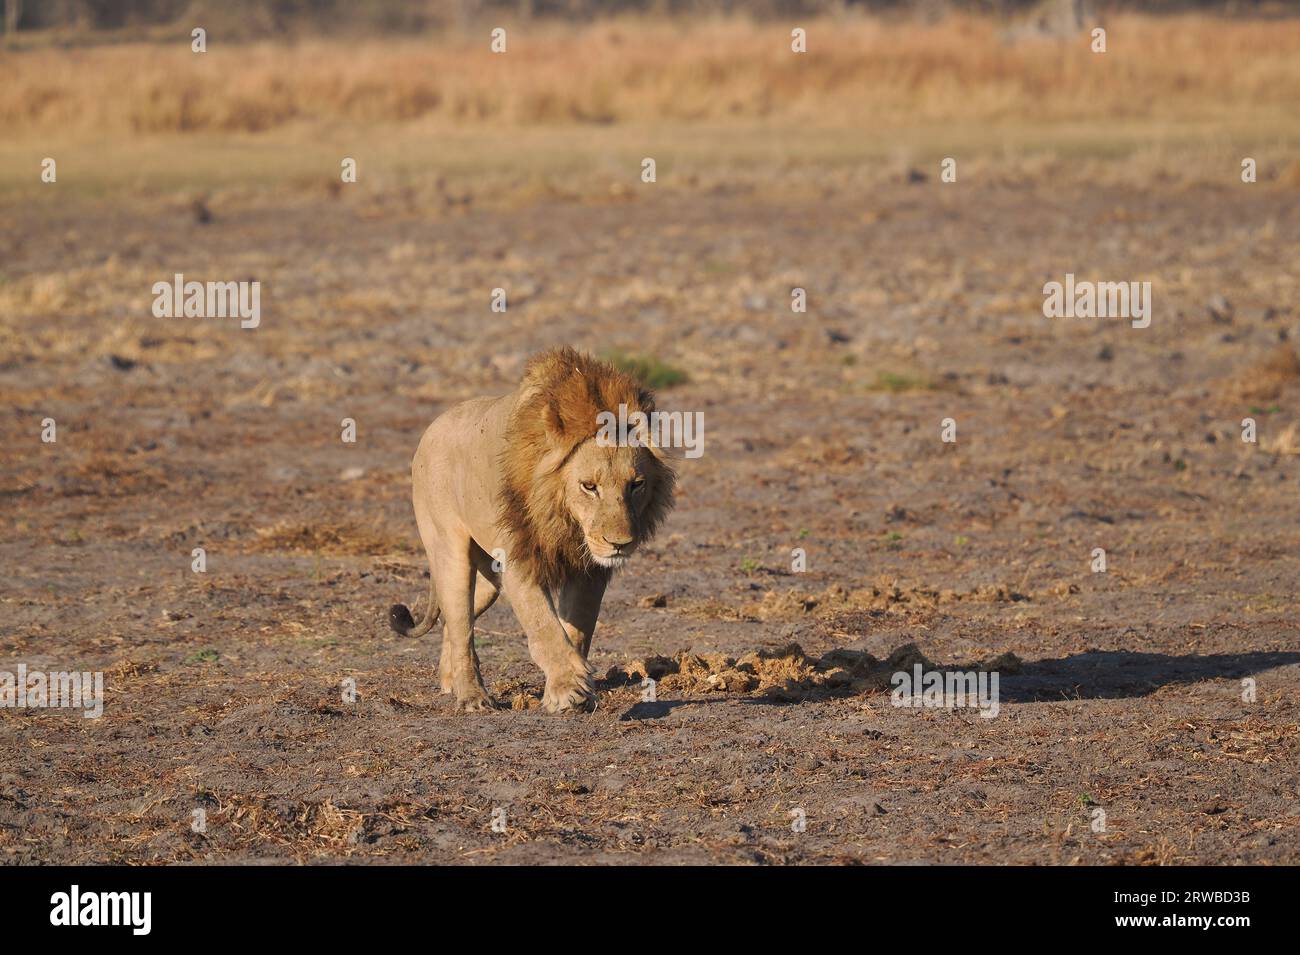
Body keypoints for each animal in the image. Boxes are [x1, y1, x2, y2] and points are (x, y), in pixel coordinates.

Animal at [388, 347, 676, 712]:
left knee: (455, 624)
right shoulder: (518, 559)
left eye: (636, 484)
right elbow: (543, 626)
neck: (563, 518)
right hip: (450, 553)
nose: (620, 544)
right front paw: (568, 689)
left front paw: (573, 688)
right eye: (589, 486)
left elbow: (578, 627)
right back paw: (472, 696)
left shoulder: (590, 569)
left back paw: (449, 680)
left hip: (488, 579)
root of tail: (432, 427)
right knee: (461, 624)